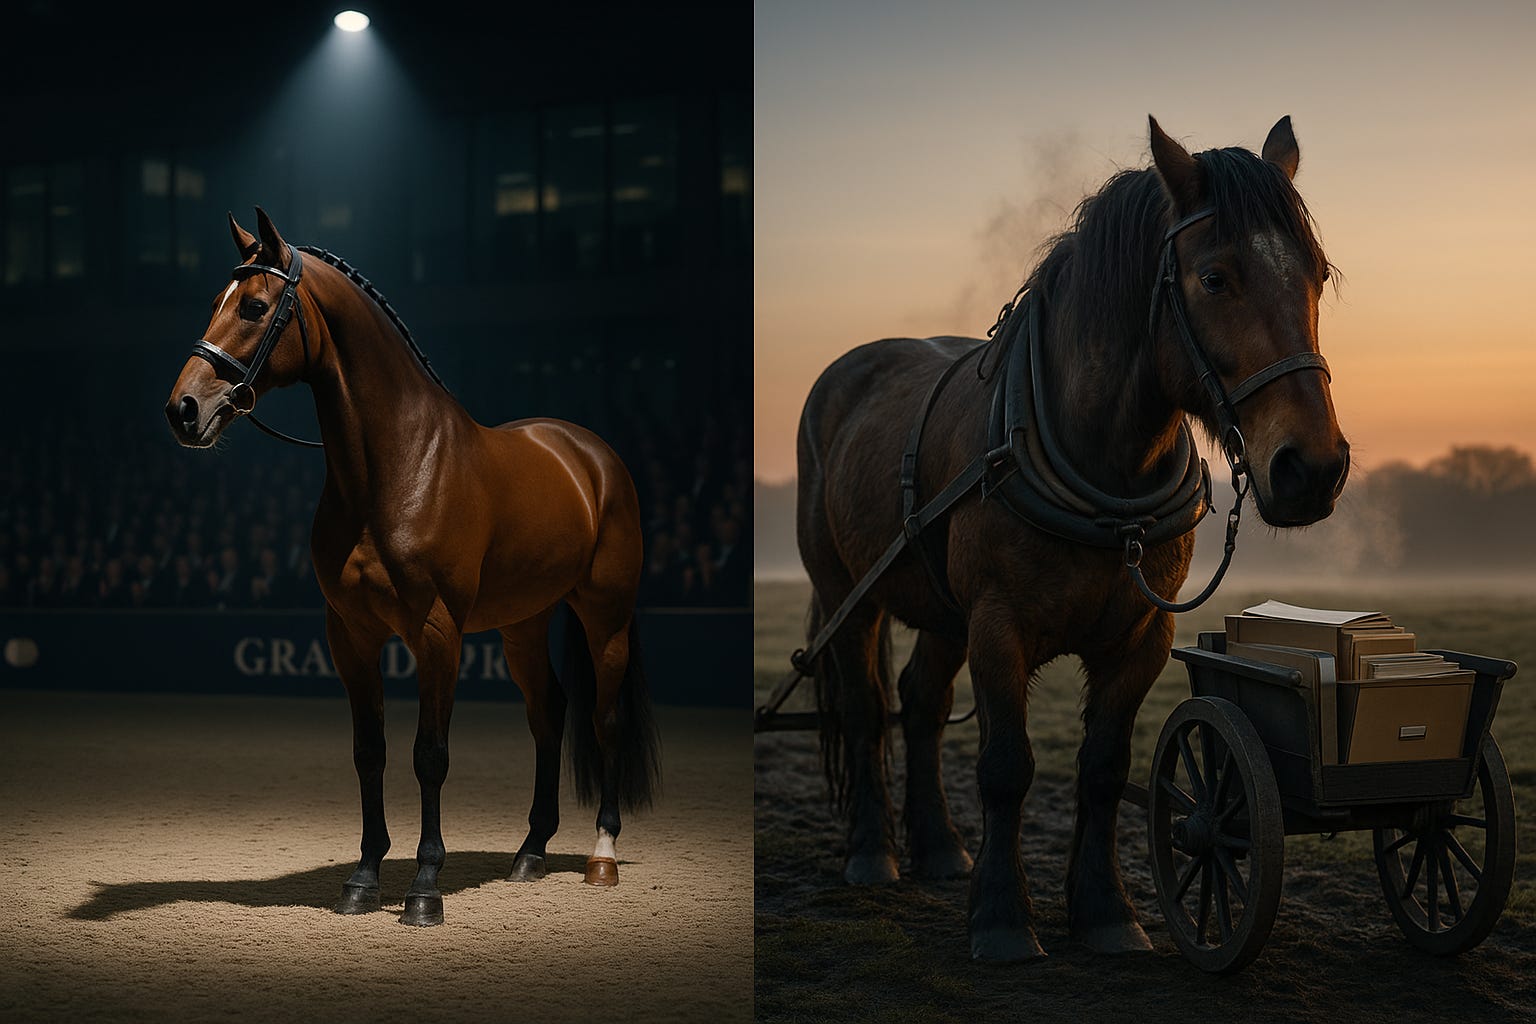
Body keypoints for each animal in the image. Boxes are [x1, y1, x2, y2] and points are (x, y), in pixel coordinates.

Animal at [164, 208, 660, 926]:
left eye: (254, 306)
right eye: (213, 304)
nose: (183, 410)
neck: (396, 466)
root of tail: (593, 456)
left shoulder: (436, 634)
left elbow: (430, 755)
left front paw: (425, 888)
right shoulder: (351, 636)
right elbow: (369, 753)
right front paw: (364, 878)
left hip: (606, 618)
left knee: (604, 719)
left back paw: (602, 856)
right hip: (523, 626)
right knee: (549, 714)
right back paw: (530, 852)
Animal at [796, 116, 1349, 961]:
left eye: (1316, 276)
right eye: (1215, 278)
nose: (1312, 467)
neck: (1105, 477)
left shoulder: (1140, 637)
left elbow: (1103, 768)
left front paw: (1105, 912)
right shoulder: (998, 627)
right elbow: (1004, 768)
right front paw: (1002, 919)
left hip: (942, 607)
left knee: (920, 703)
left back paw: (939, 849)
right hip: (847, 596)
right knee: (864, 709)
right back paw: (872, 854)